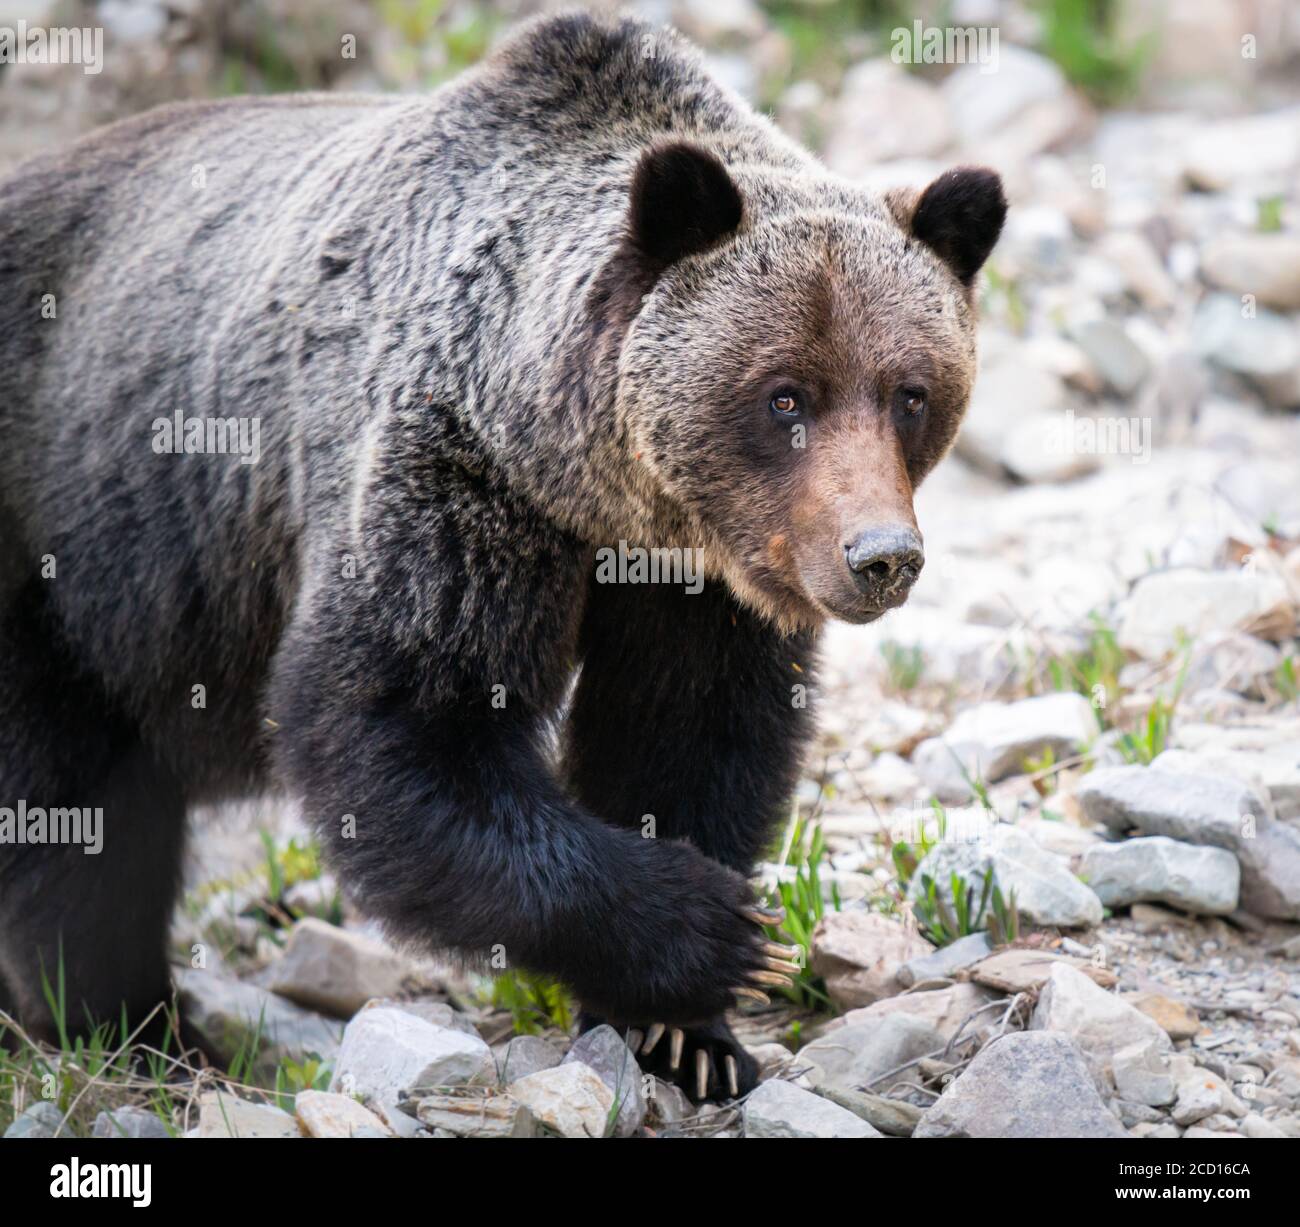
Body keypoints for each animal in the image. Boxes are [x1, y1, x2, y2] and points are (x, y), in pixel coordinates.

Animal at [0, 13, 1004, 1101]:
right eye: (785, 394)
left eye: (909, 392)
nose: (880, 556)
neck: (589, 487)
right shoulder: (450, 485)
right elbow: (404, 729)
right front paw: (712, 931)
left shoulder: (693, 582)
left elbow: (689, 733)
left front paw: (688, 1034)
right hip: (65, 550)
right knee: (77, 817)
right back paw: (140, 1028)